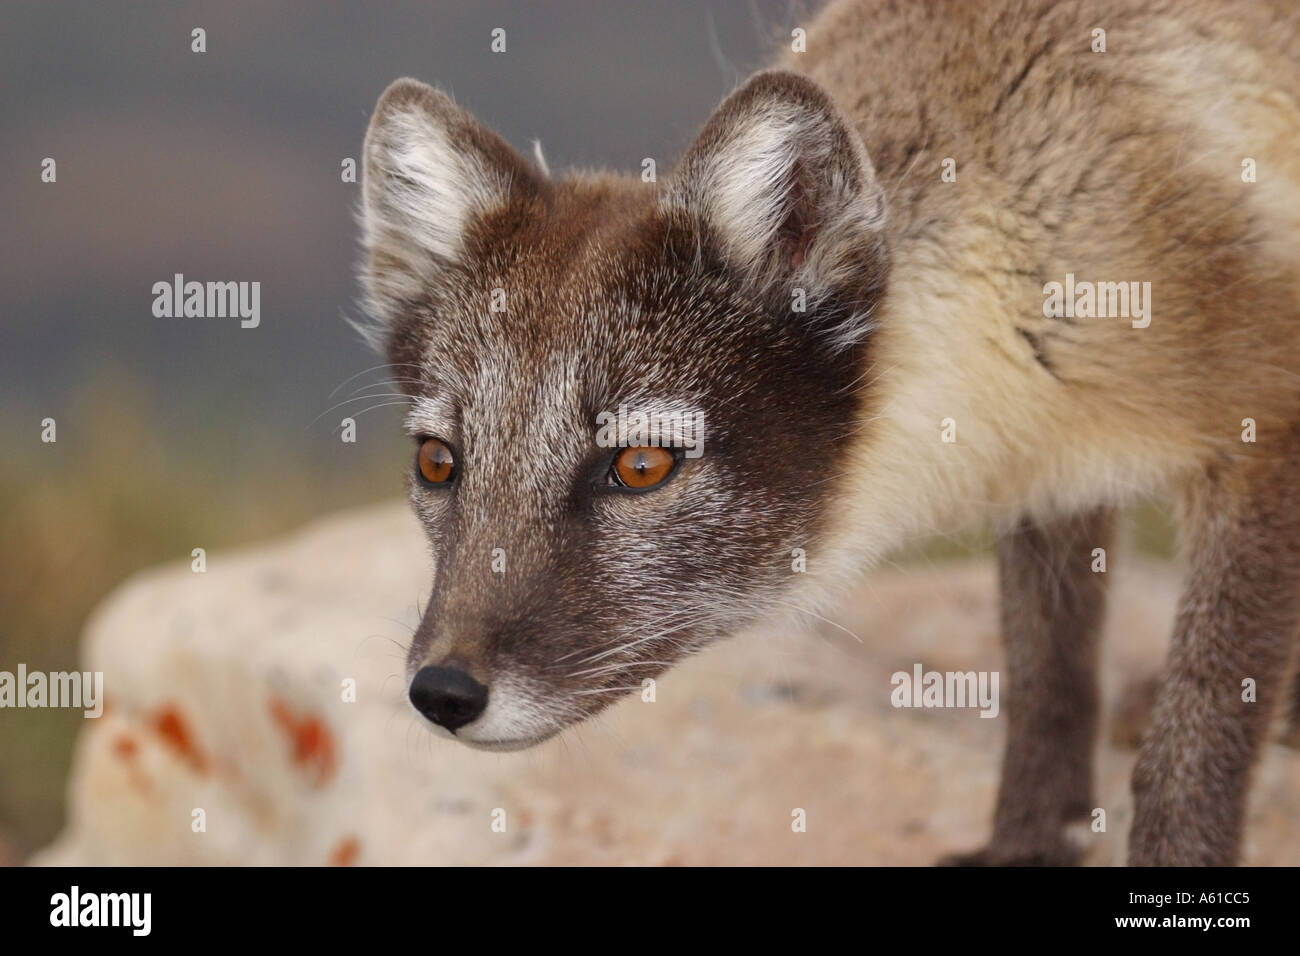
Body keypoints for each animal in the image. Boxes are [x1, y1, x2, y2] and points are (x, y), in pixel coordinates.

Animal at [358, 0, 1300, 866]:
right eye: (437, 462)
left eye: (641, 464)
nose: (442, 693)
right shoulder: (1048, 475)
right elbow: (1048, 679)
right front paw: (1026, 846)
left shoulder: (1261, 421)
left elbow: (1199, 724)